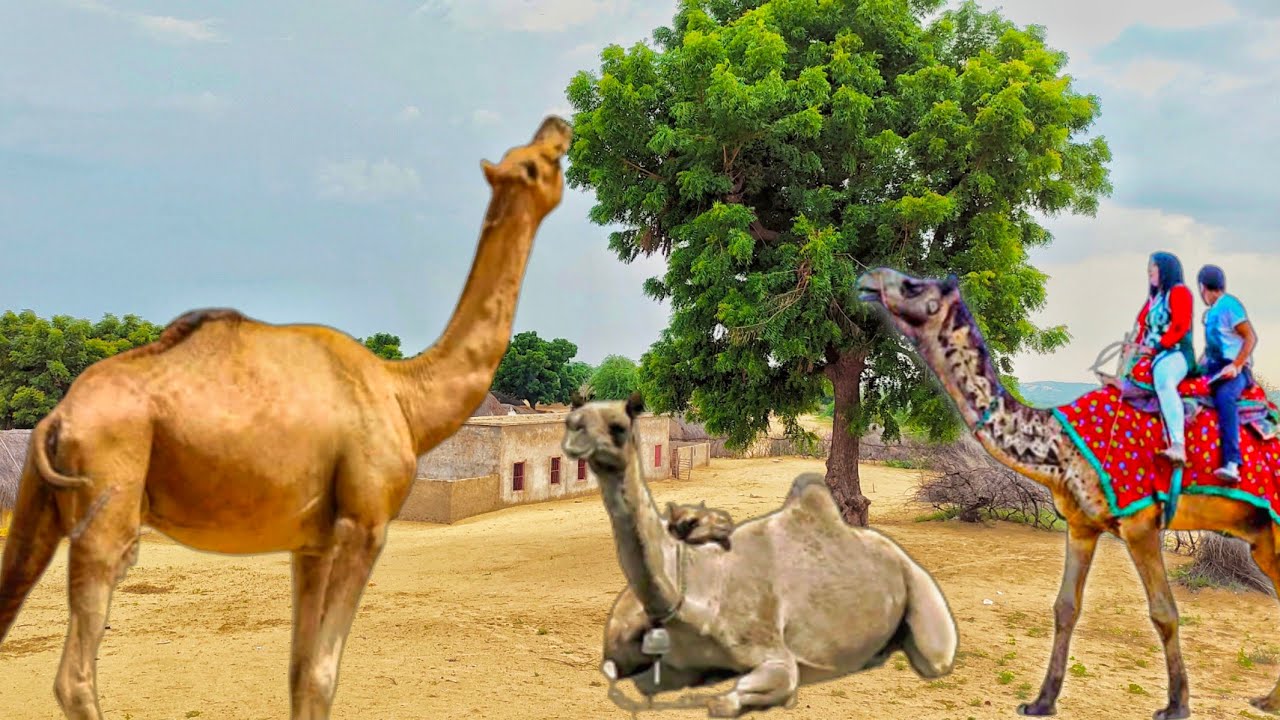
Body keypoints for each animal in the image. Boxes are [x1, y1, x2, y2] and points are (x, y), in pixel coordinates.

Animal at [0, 115, 572, 720]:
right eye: (541, 161)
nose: (559, 125)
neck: (403, 394)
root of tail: (58, 418)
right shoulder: (365, 523)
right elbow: (322, 672)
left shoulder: (312, 540)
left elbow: (299, 671)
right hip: (108, 495)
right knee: (75, 670)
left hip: (38, 496)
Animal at [561, 393, 959, 718]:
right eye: (571, 421)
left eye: (618, 426)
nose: (574, 442)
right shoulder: (675, 661)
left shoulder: (774, 654)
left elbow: (729, 699)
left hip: (923, 604)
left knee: (936, 658)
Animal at [856, 266, 1280, 719]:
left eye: (913, 285)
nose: (868, 279)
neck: (1059, 444)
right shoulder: (1082, 524)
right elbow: (1065, 607)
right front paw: (1041, 701)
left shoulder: (1139, 521)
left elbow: (1164, 612)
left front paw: (1176, 706)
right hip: (1261, 537)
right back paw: (1267, 700)